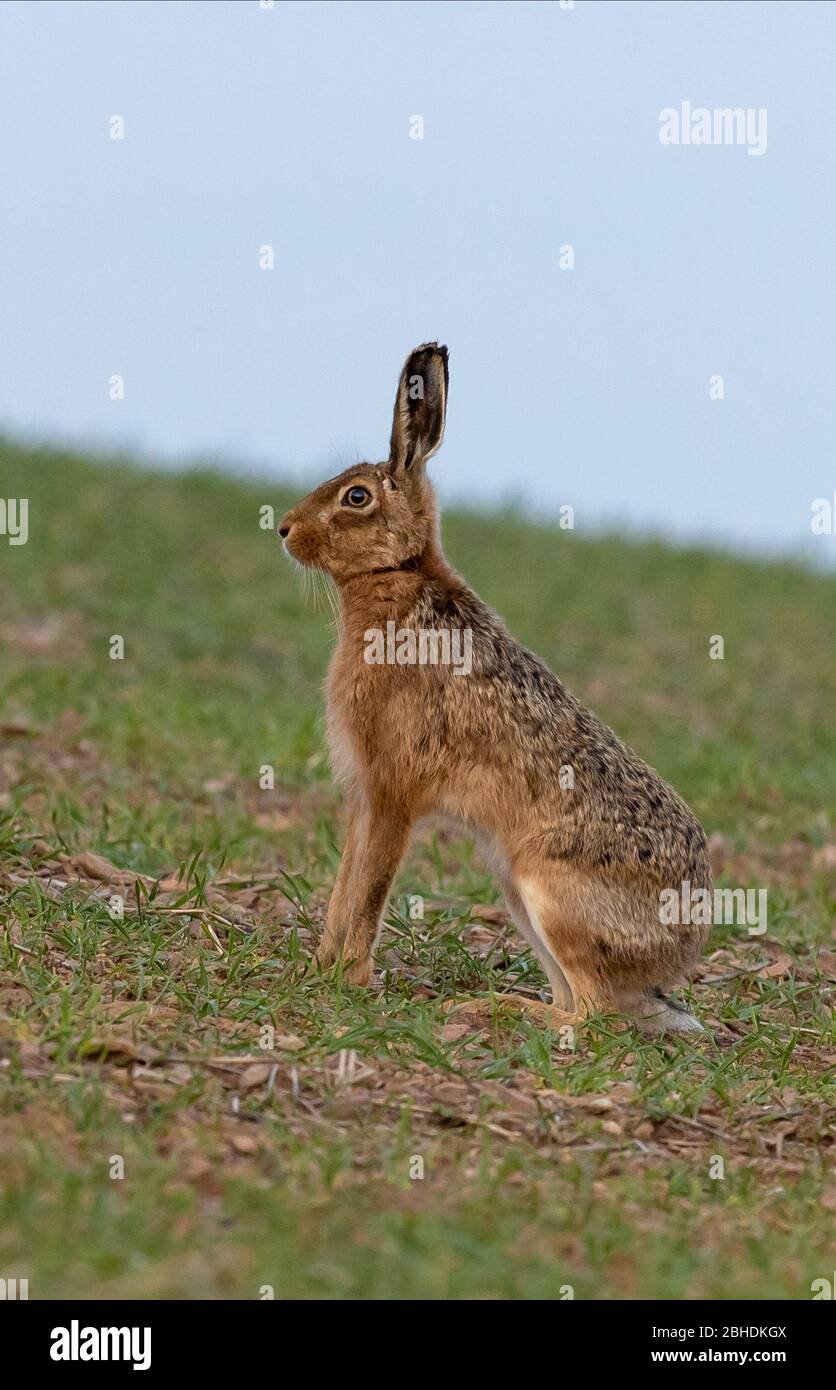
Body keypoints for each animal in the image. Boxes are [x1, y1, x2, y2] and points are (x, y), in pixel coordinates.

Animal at [278, 343, 711, 1033]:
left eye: (356, 496)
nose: (286, 529)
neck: (398, 578)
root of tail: (677, 954)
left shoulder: (394, 794)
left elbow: (370, 890)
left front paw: (350, 981)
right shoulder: (364, 796)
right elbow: (345, 886)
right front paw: (318, 969)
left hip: (548, 890)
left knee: (591, 1016)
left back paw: (483, 1006)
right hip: (514, 886)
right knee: (575, 1002)